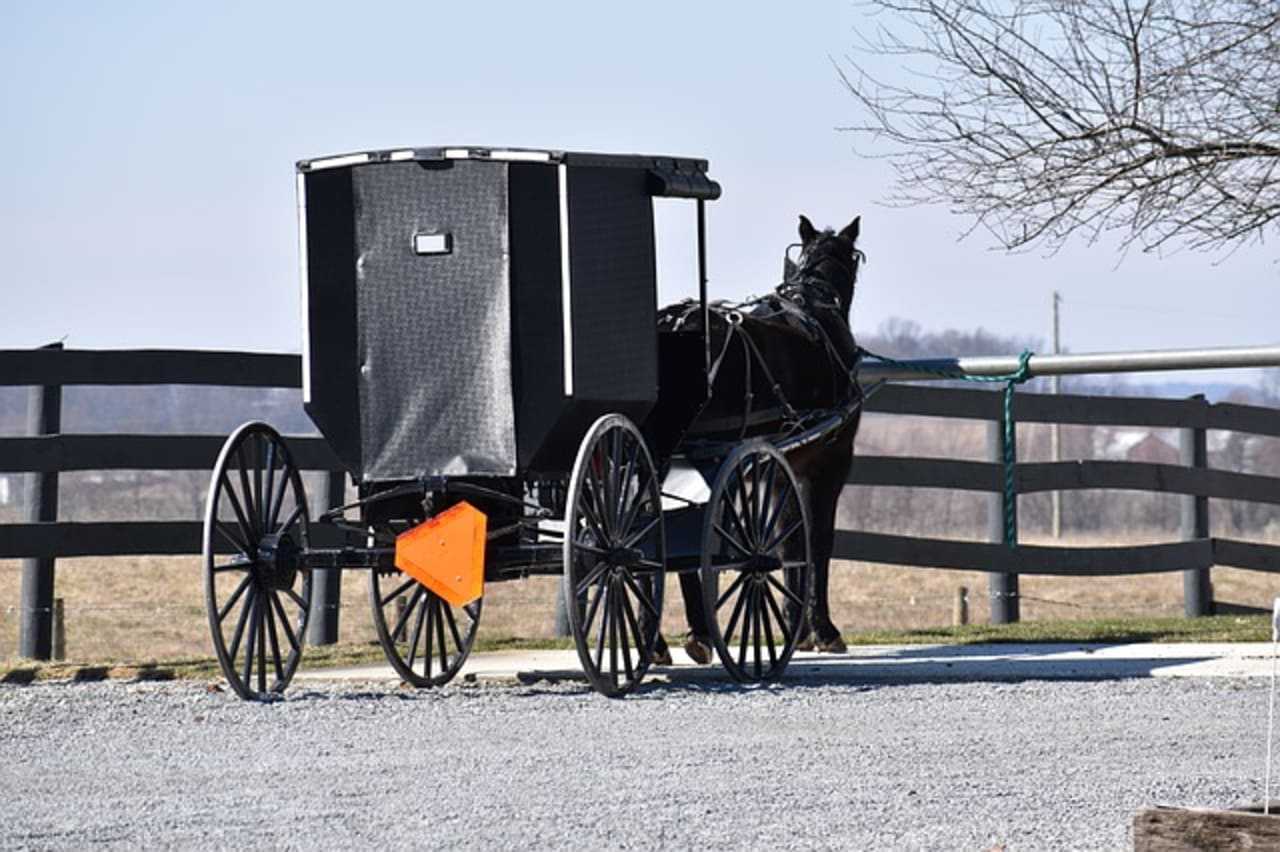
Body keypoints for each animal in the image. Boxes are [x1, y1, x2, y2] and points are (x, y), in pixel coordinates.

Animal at [653, 214, 865, 662]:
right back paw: (697, 633)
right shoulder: (830, 462)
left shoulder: (788, 465)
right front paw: (822, 629)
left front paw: (795, 625)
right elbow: (818, 540)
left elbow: (792, 540)